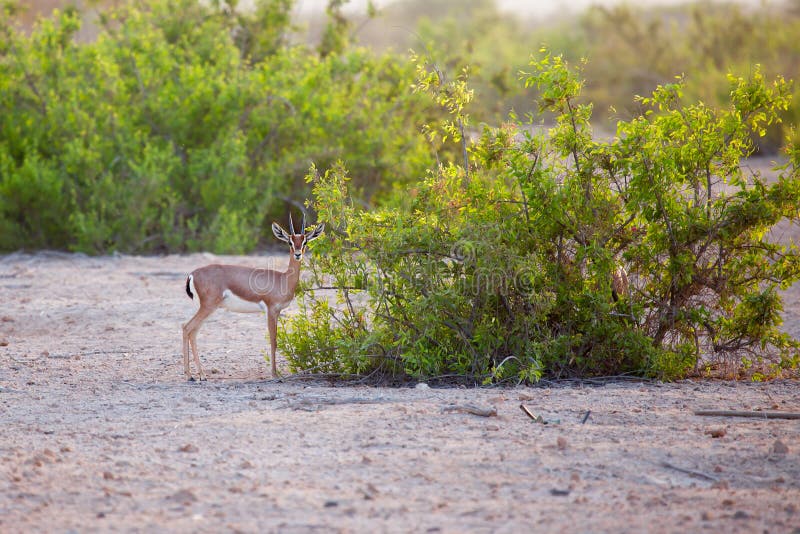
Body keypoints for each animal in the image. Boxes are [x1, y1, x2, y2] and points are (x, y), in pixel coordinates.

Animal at [182, 214, 324, 381]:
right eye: (289, 241)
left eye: (305, 241)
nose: (297, 254)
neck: (283, 279)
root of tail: (192, 274)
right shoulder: (271, 310)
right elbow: (273, 340)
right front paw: (274, 374)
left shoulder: (278, 312)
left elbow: (275, 339)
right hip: (208, 307)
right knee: (186, 327)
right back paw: (193, 375)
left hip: (208, 309)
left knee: (192, 331)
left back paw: (197, 375)